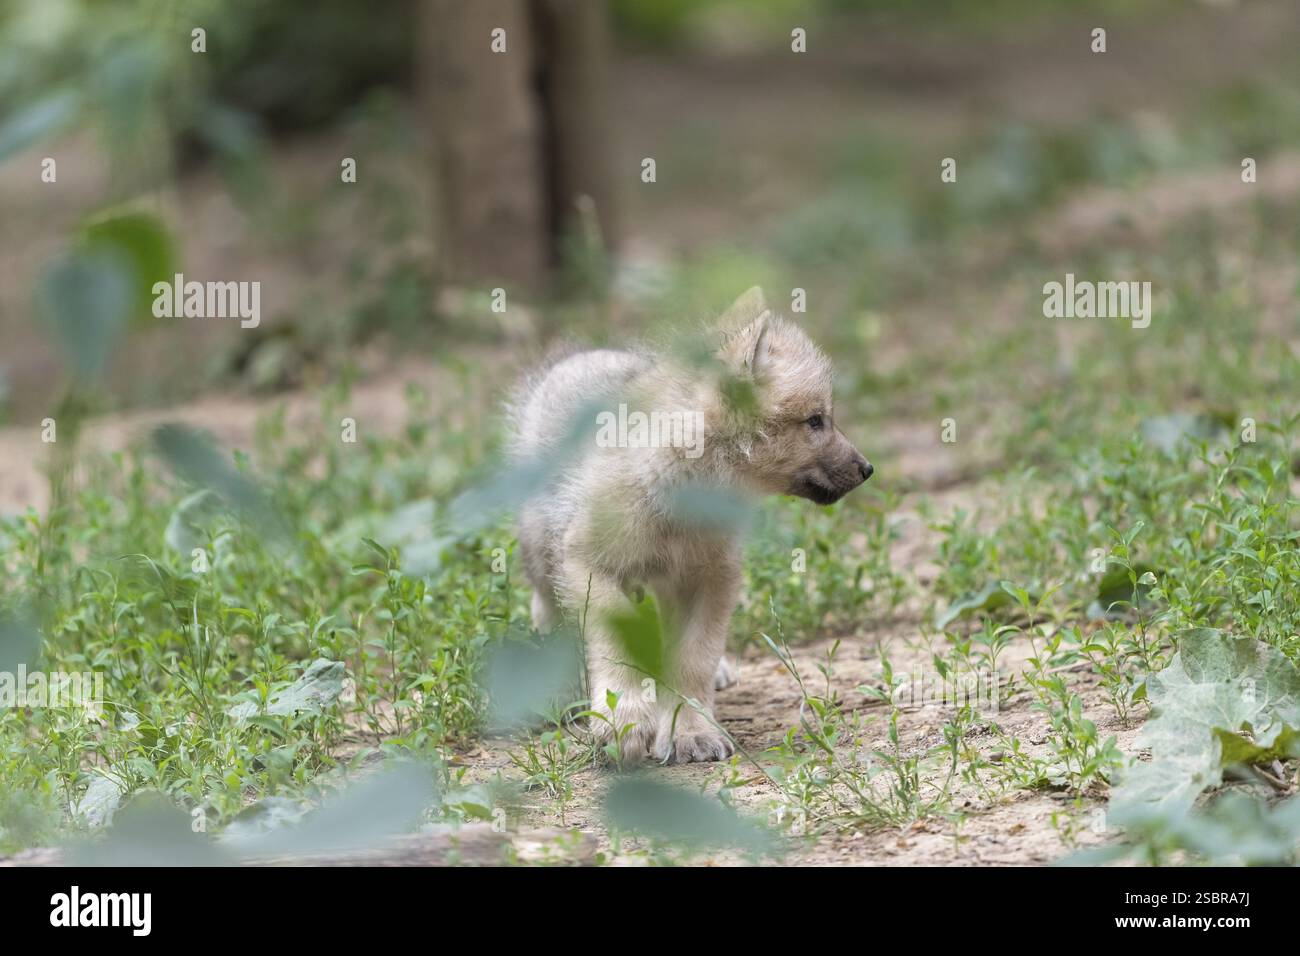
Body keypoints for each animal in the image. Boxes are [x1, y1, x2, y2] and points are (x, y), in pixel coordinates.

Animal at [509, 287, 872, 764]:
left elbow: (693, 659)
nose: (868, 469)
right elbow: (615, 644)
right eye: (815, 421)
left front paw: (690, 730)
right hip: (542, 549)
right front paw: (623, 719)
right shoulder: (590, 564)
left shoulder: (710, 578)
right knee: (546, 606)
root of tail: (582, 356)